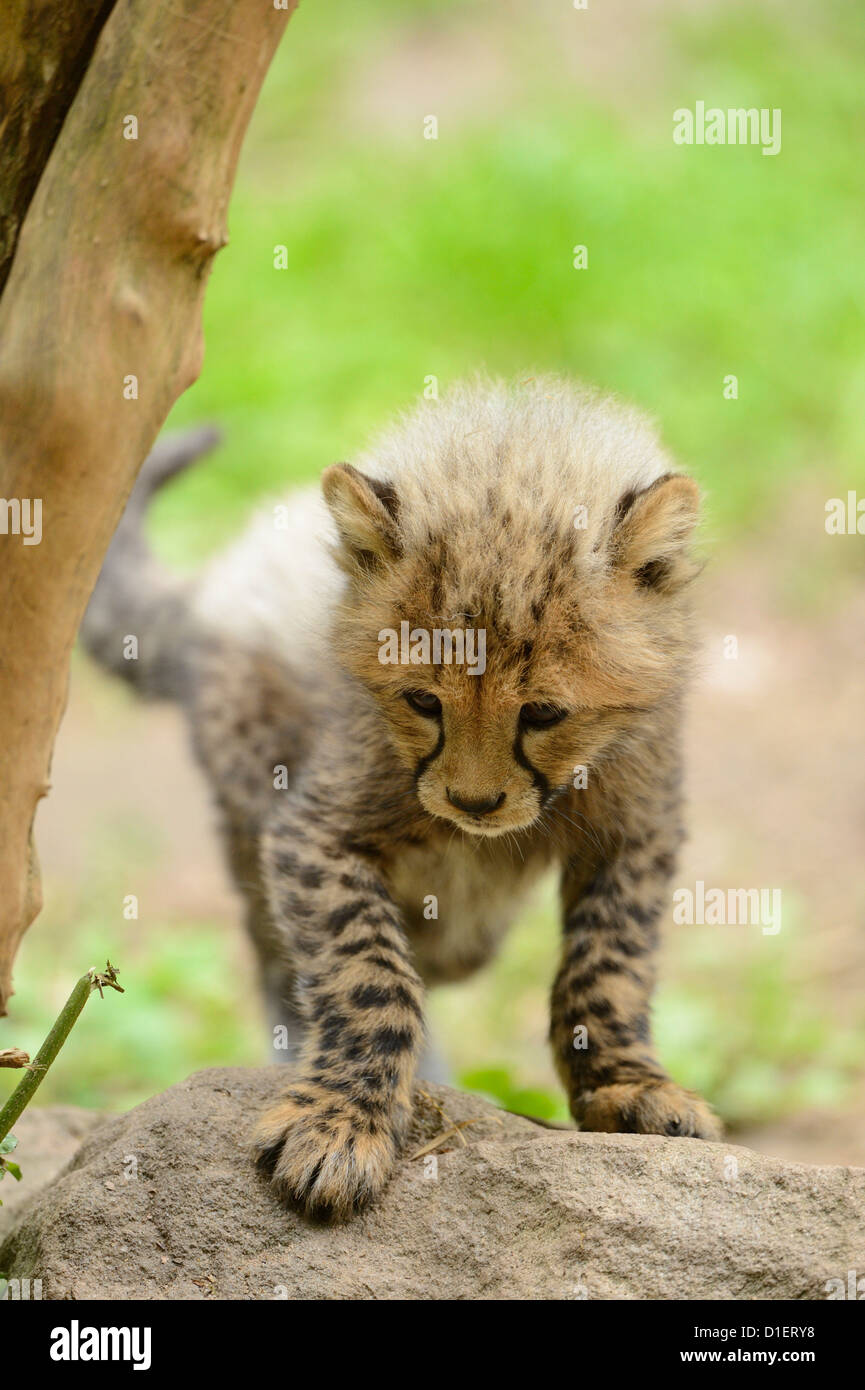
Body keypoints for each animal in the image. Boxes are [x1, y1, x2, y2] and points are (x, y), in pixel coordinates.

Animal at [81, 375, 721, 1220]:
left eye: (544, 712)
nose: (474, 803)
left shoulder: (637, 831)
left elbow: (606, 967)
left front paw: (629, 1086)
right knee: (286, 962)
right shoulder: (310, 831)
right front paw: (341, 1123)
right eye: (421, 700)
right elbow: (367, 975)